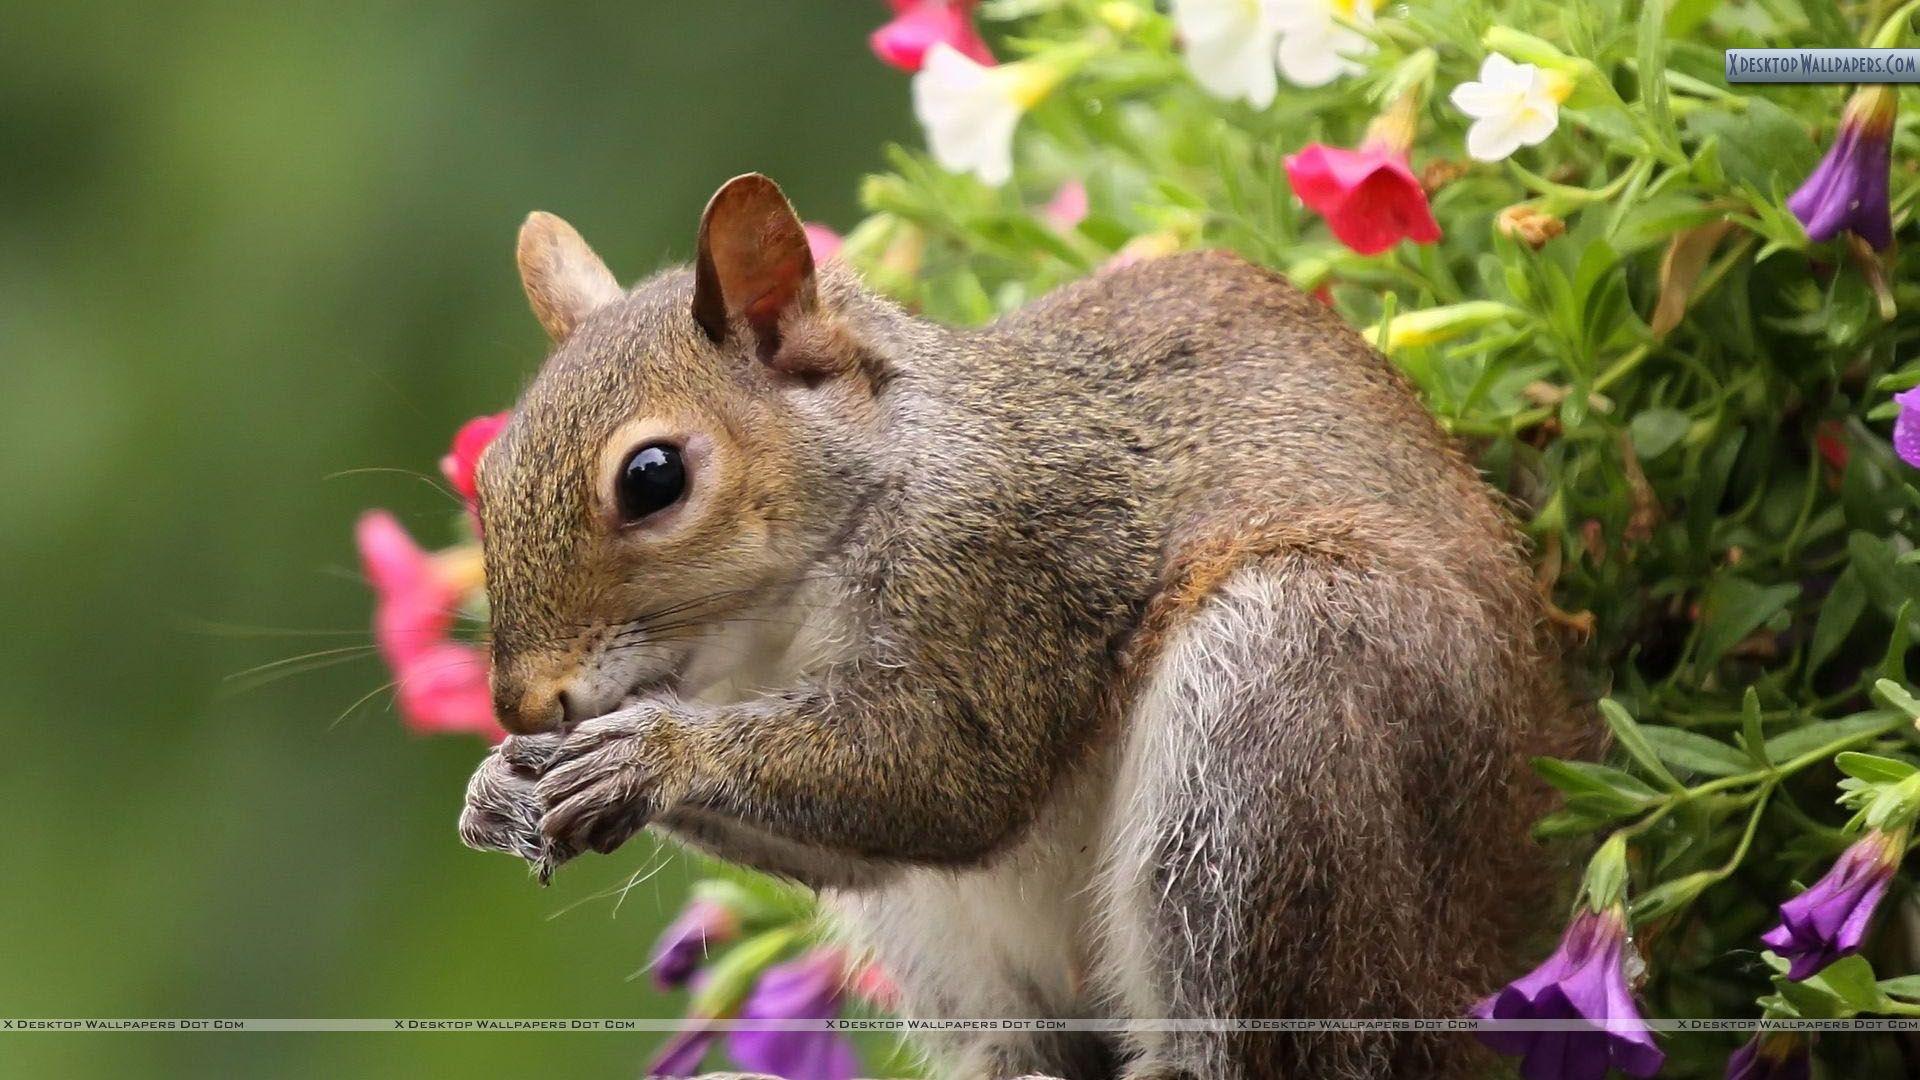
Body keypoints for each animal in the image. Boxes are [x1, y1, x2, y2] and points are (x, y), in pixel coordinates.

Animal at [457, 173, 1587, 1080]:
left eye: (653, 477)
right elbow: (866, 847)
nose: (522, 701)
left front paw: (648, 755)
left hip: (1279, 728)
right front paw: (499, 787)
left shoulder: (1012, 566)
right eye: (488, 471)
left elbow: (951, 776)